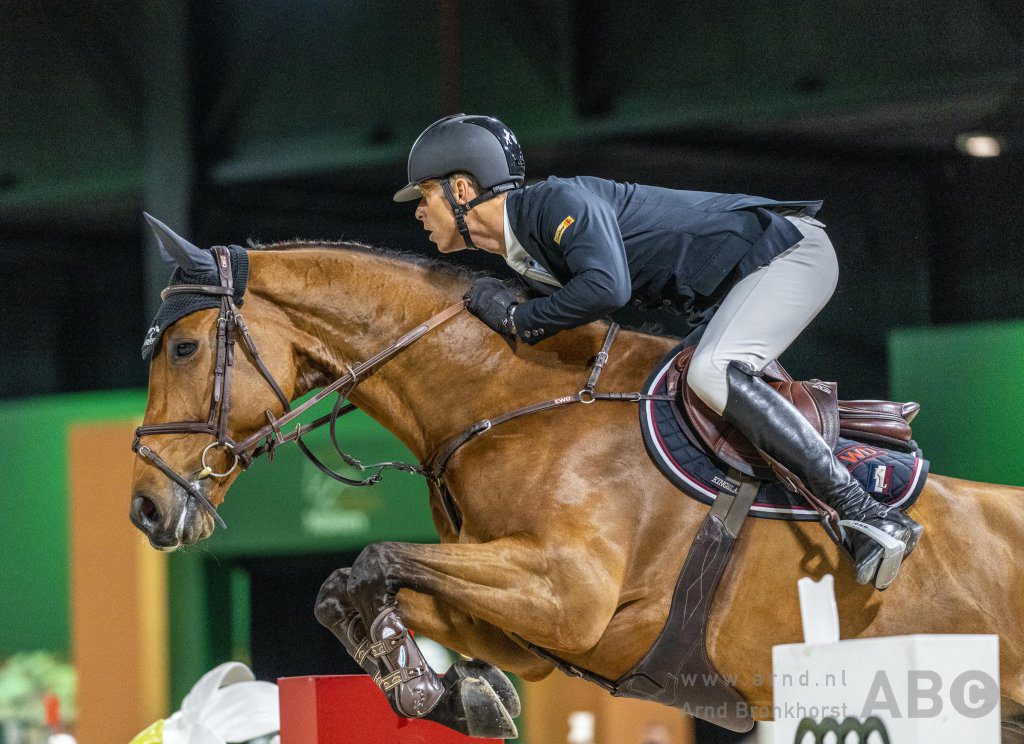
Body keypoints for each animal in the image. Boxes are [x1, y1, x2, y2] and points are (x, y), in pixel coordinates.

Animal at [129, 227, 1024, 741]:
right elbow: (348, 587)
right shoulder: (530, 627)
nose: (145, 509)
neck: (507, 400)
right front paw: (455, 691)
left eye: (182, 348)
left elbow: (377, 559)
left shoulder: (568, 592)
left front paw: (420, 680)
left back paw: (880, 533)